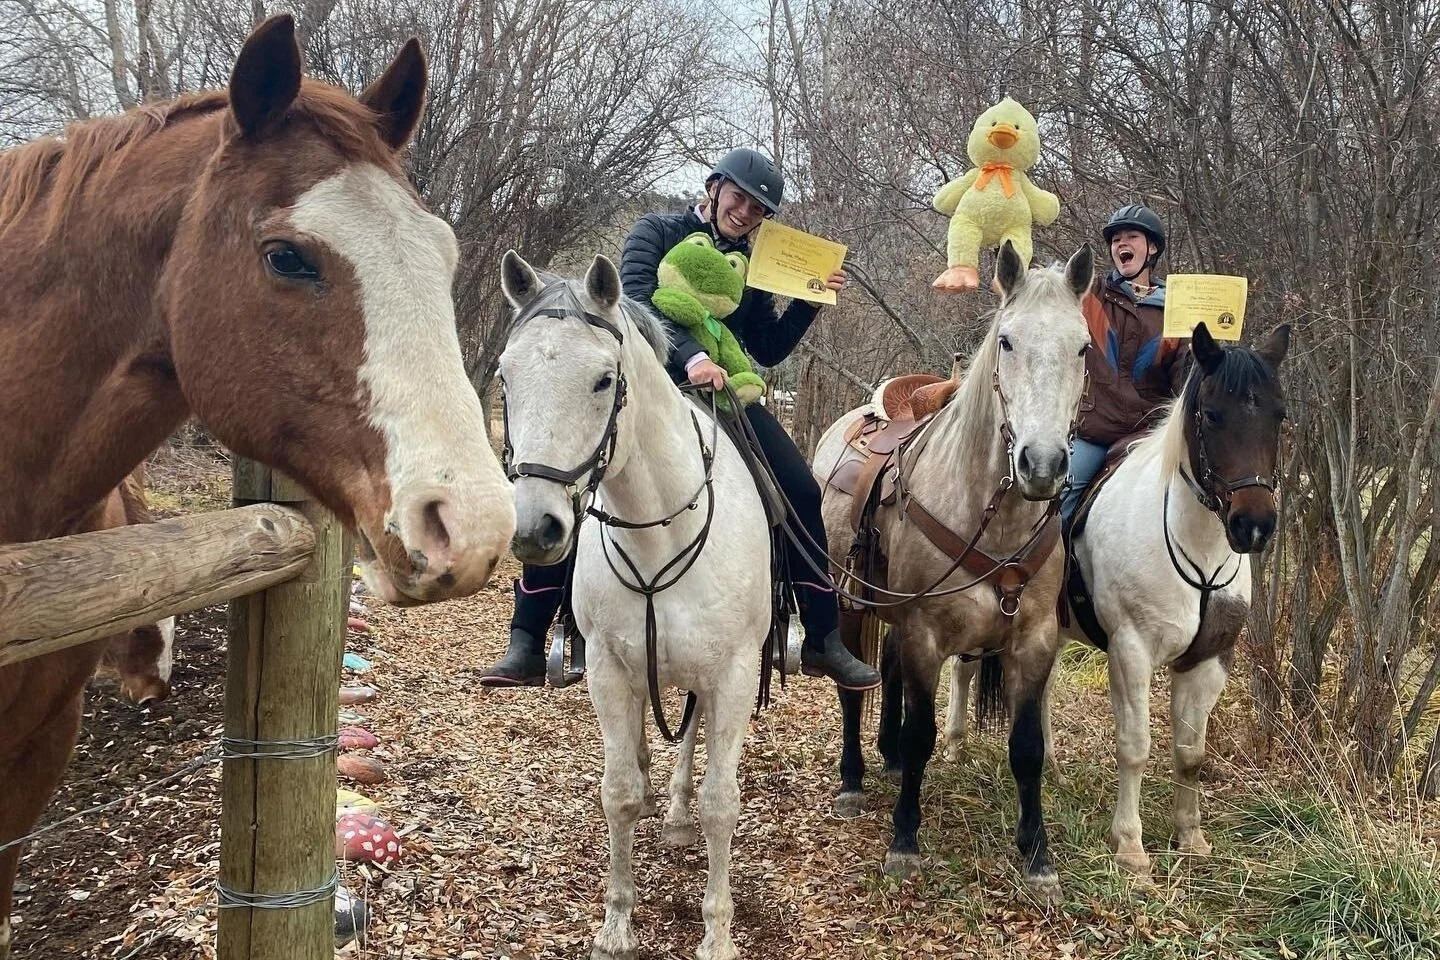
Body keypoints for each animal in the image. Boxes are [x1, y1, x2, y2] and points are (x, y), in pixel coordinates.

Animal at [499, 251, 771, 960]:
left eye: (603, 380)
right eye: (505, 377)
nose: (534, 529)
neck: (659, 532)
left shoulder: (733, 674)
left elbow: (721, 803)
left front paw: (716, 935)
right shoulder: (608, 669)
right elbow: (617, 793)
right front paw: (616, 926)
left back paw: (674, 807)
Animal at [811, 241, 1093, 900]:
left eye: (1084, 347)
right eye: (1007, 341)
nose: (1042, 465)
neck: (991, 519)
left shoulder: (1035, 643)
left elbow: (1027, 746)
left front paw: (1037, 854)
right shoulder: (925, 634)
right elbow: (922, 735)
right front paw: (905, 840)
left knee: (886, 672)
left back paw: (885, 758)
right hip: (848, 598)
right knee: (852, 688)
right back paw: (855, 778)